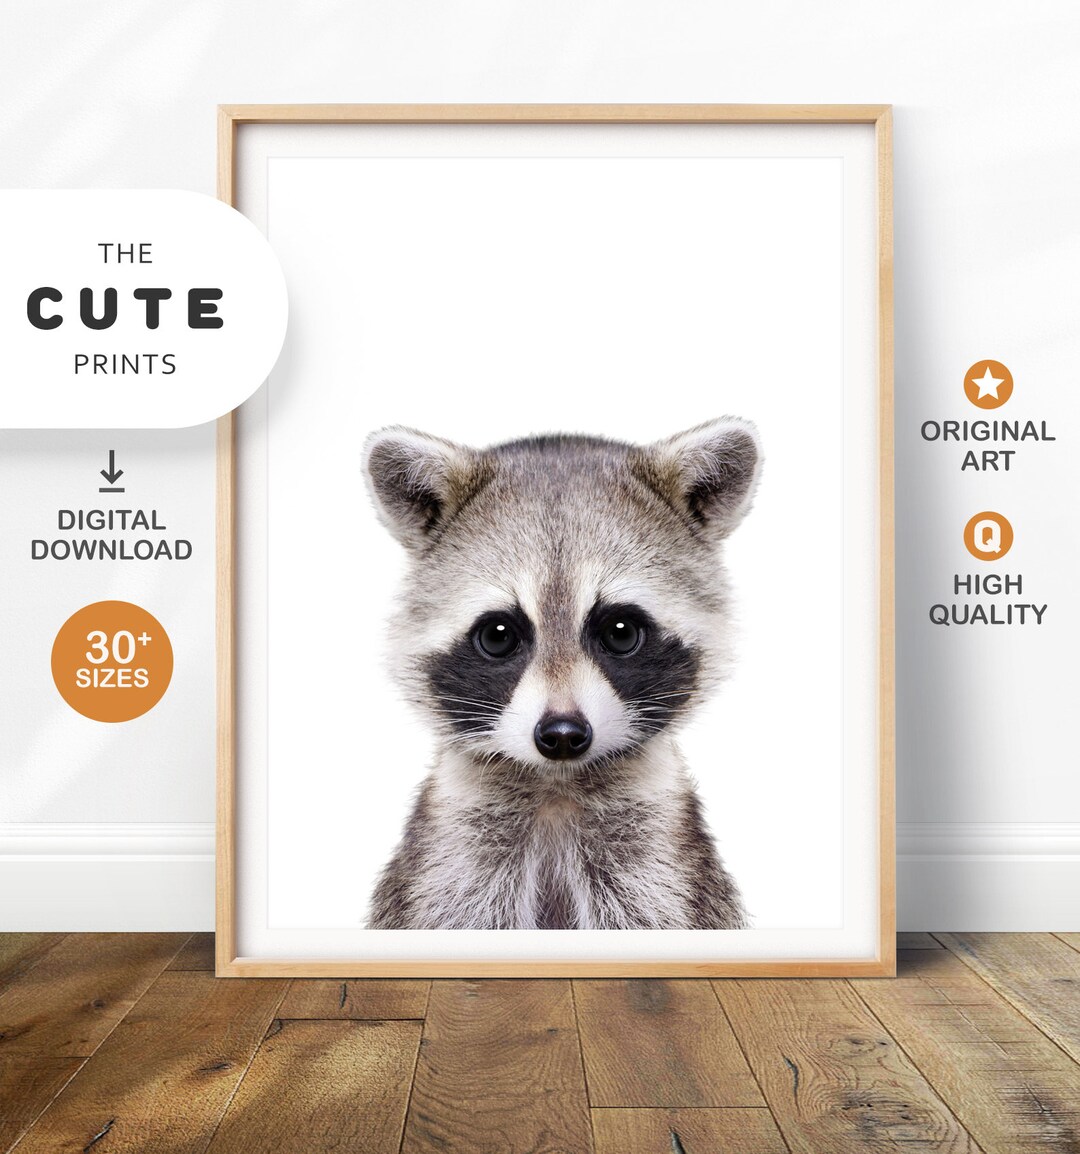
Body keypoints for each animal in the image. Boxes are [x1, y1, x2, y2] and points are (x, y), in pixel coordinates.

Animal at [362, 417, 761, 930]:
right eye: (498, 635)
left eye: (620, 631)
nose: (563, 734)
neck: (558, 790)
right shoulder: (451, 861)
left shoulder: (661, 863)